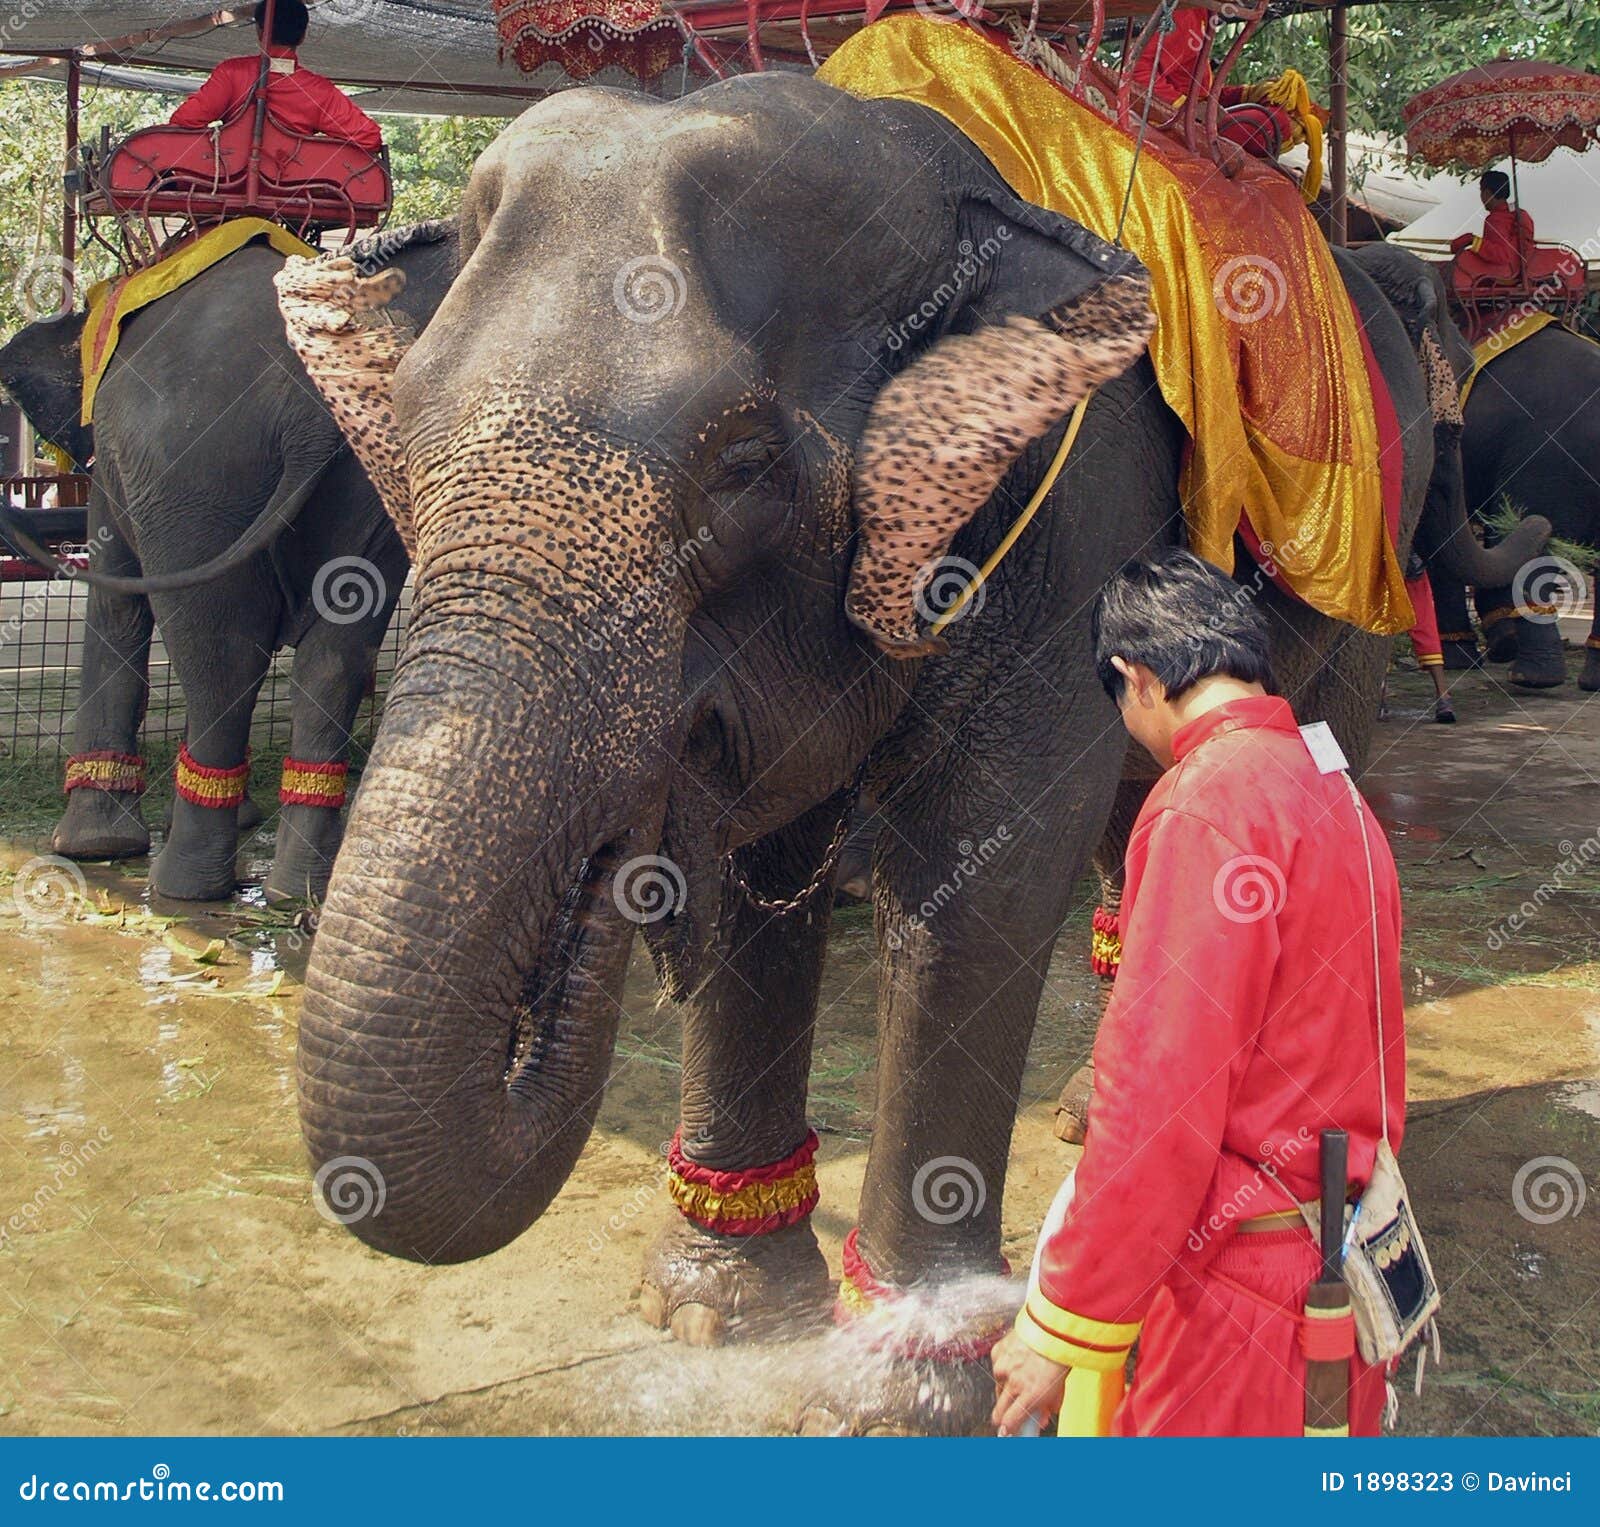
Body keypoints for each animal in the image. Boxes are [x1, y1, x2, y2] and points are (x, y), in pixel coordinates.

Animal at [0, 223, 457, 901]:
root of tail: (304, 399)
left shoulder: (115, 472)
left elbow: (117, 604)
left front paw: (92, 848)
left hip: (191, 471)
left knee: (221, 654)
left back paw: (180, 886)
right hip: (357, 473)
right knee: (335, 652)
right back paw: (297, 889)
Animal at [280, 78, 1547, 1434]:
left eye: (742, 464)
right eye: (408, 433)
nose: (609, 883)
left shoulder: (1063, 502)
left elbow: (973, 879)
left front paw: (894, 1395)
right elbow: (757, 883)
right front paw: (710, 1314)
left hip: (1361, 562)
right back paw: (1095, 1120)